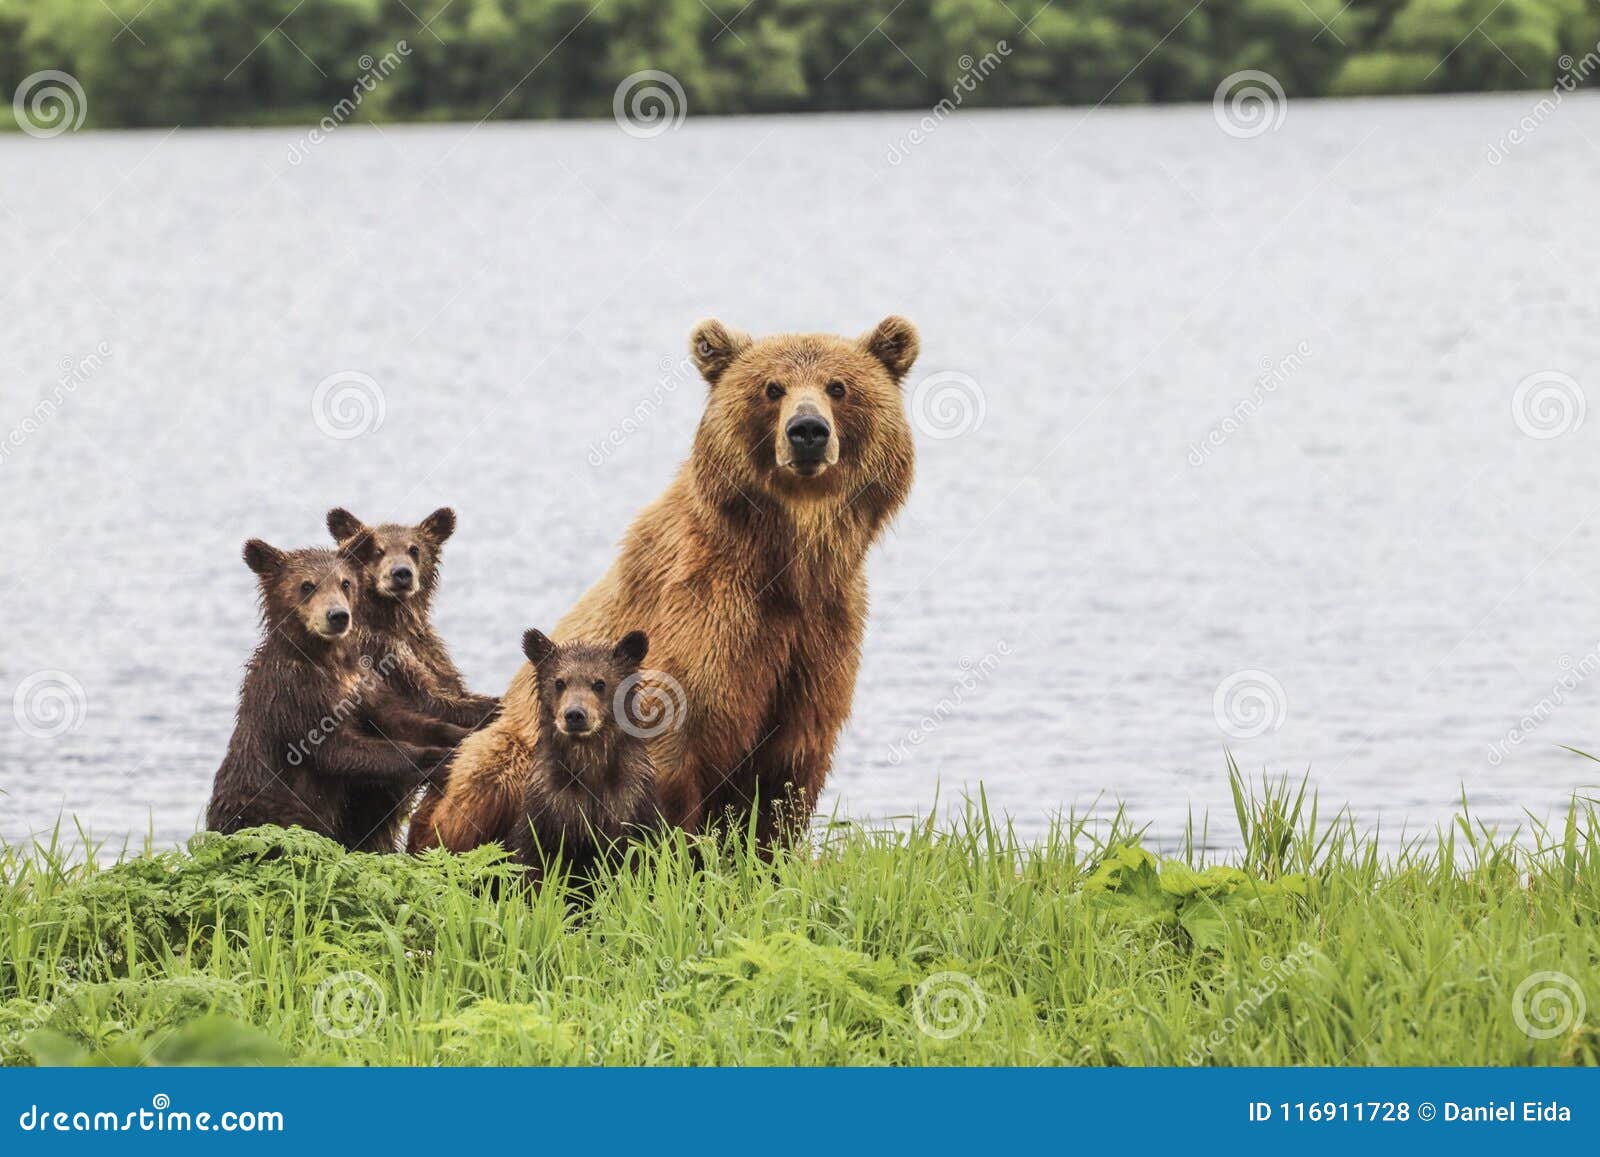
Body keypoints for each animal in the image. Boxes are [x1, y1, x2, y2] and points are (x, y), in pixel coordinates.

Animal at [205, 537, 461, 852]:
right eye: (307, 585)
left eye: (345, 582)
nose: (338, 615)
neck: (325, 659)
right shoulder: (294, 695)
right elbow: (338, 749)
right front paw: (438, 758)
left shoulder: (360, 684)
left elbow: (403, 719)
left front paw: (462, 734)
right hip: (267, 813)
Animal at [413, 316, 918, 853]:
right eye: (772, 388)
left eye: (838, 387)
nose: (807, 431)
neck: (786, 560)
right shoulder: (701, 622)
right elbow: (671, 754)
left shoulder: (821, 636)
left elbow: (790, 768)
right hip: (495, 757)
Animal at [505, 628, 661, 891]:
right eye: (559, 682)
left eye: (599, 683)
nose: (575, 715)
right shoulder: (549, 807)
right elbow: (534, 864)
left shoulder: (630, 805)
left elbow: (637, 860)